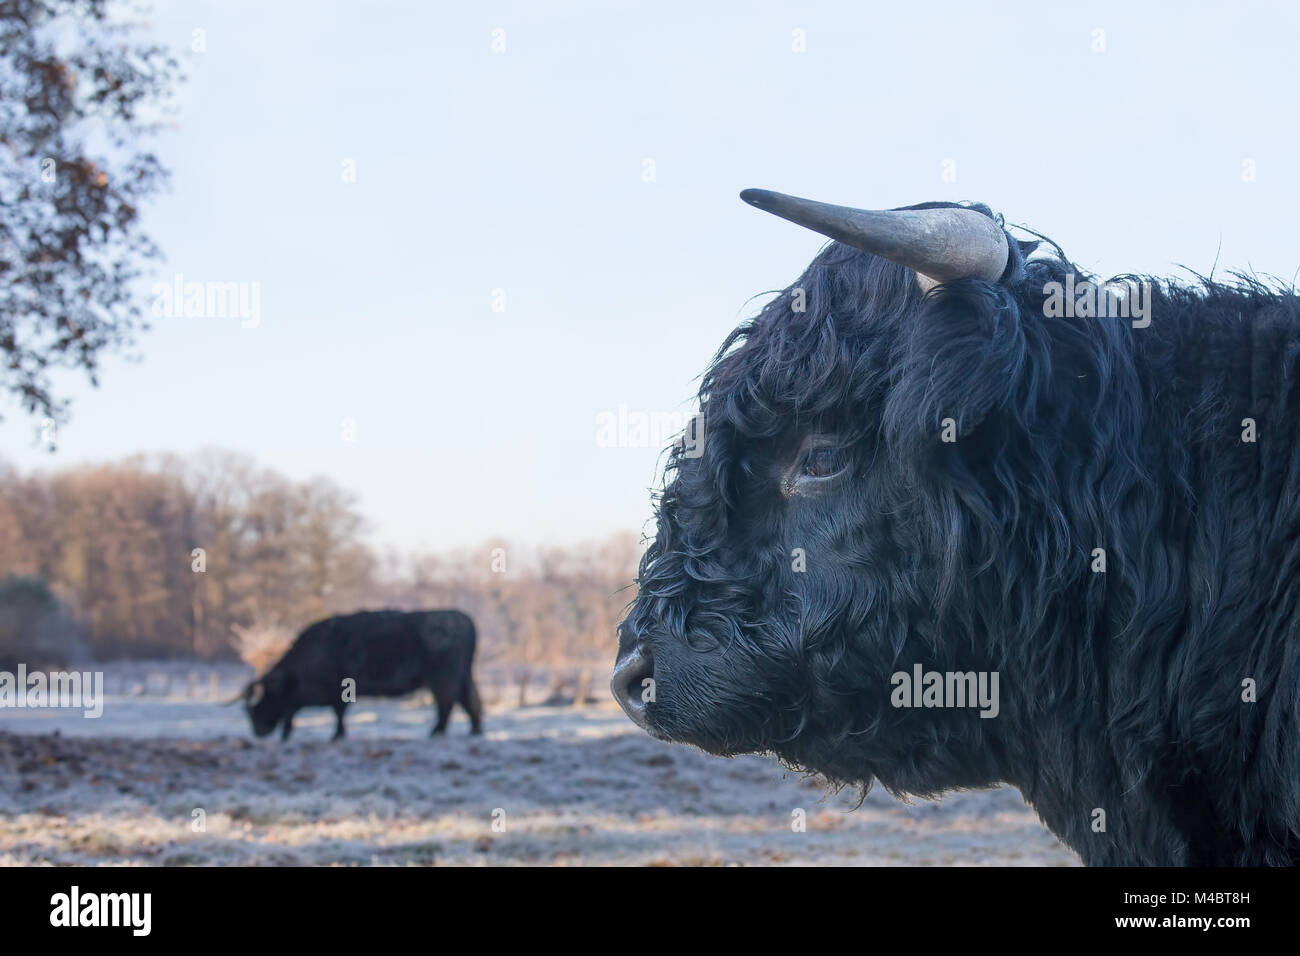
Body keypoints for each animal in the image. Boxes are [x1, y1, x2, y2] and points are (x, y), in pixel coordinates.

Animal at [241, 609, 483, 740]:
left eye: (256, 708)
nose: (258, 731)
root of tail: (463, 618)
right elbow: (293, 711)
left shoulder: (336, 689)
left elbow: (337, 714)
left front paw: (337, 735)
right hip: (463, 675)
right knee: (469, 701)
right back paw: (474, 730)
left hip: (443, 678)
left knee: (446, 704)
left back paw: (436, 732)